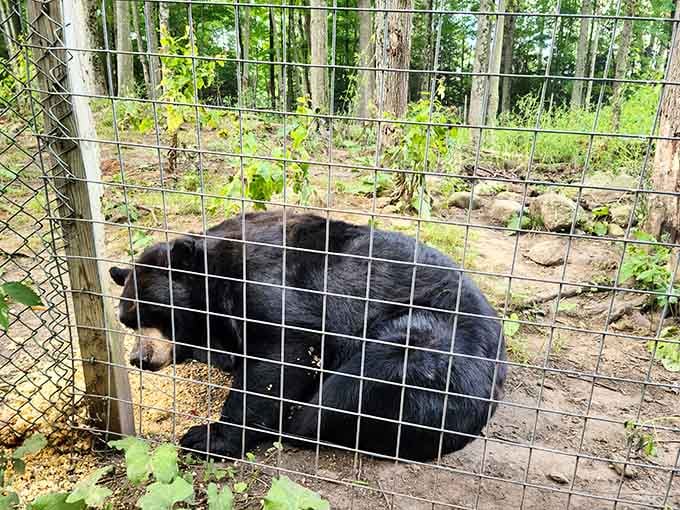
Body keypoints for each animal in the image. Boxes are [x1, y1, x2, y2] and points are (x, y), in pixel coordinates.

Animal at [110, 211, 507, 462]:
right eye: (127, 321)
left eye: (154, 313)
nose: (139, 358)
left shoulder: (266, 284)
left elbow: (285, 354)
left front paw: (206, 436)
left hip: (434, 351)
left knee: (356, 385)